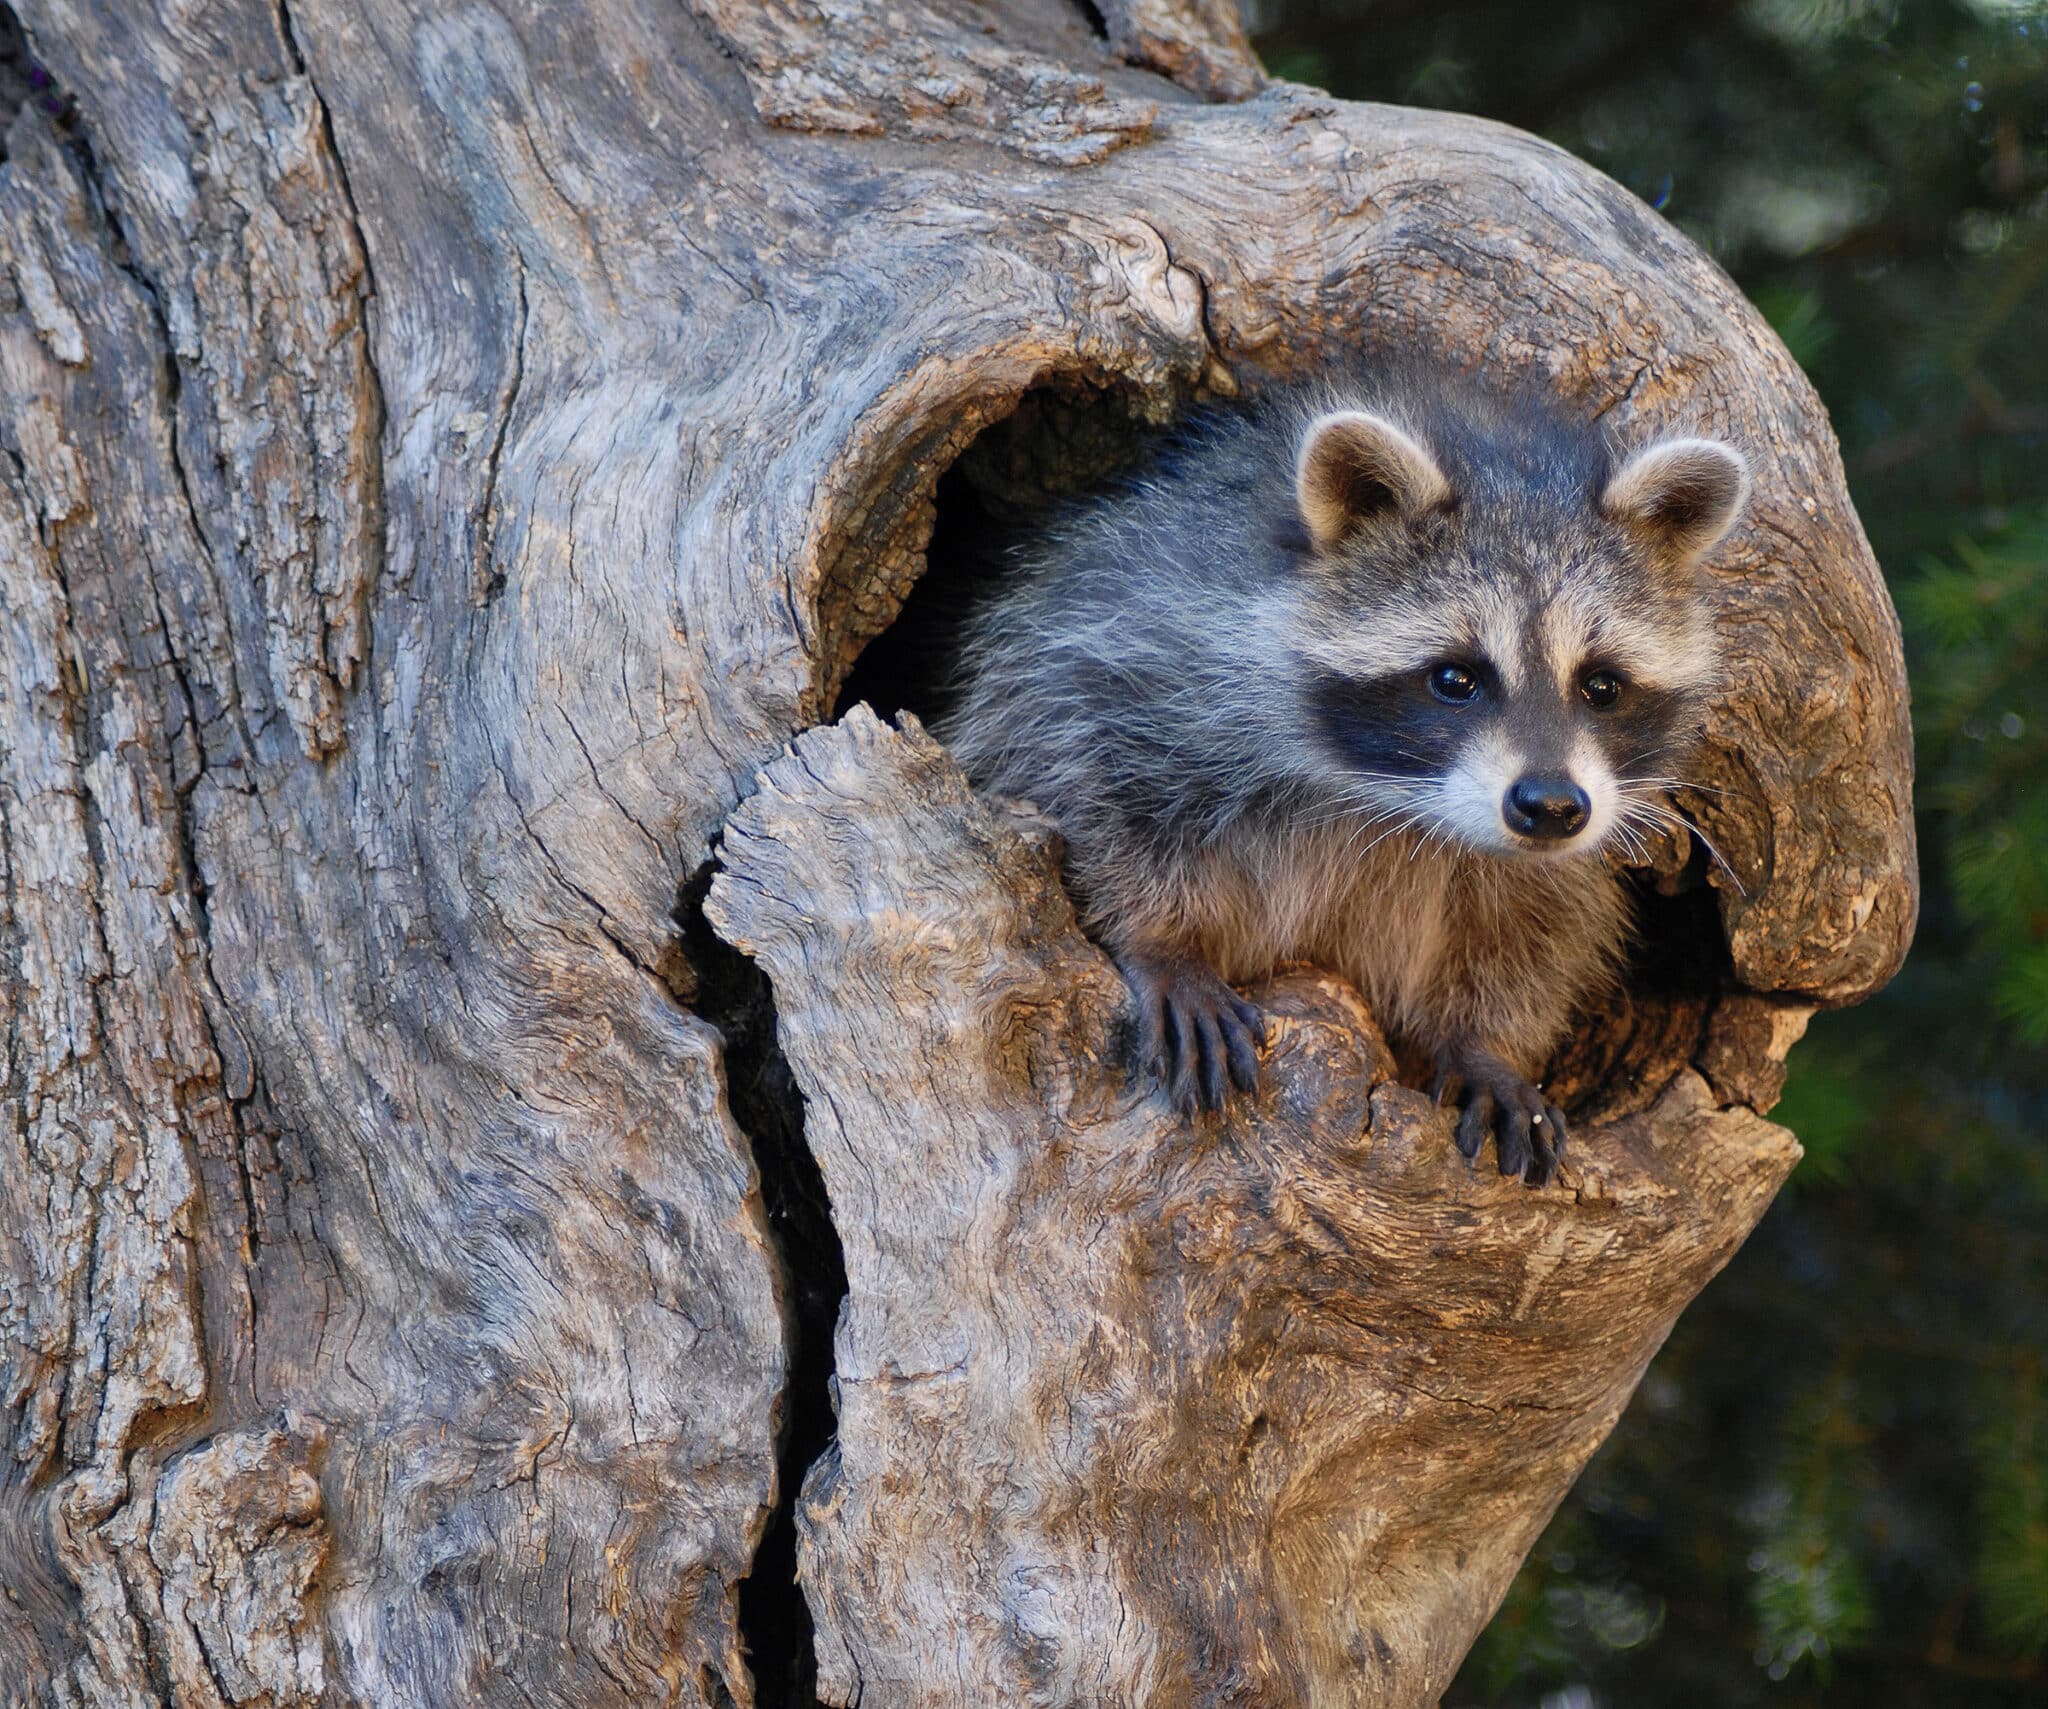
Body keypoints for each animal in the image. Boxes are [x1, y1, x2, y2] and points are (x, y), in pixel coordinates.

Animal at [938, 366, 1748, 1184]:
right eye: (1454, 679)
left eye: (1602, 686)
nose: (1551, 807)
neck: (1391, 801)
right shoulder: (1137, 640)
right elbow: (1090, 768)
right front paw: (1164, 941)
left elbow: (1536, 922)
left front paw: (1485, 1044)